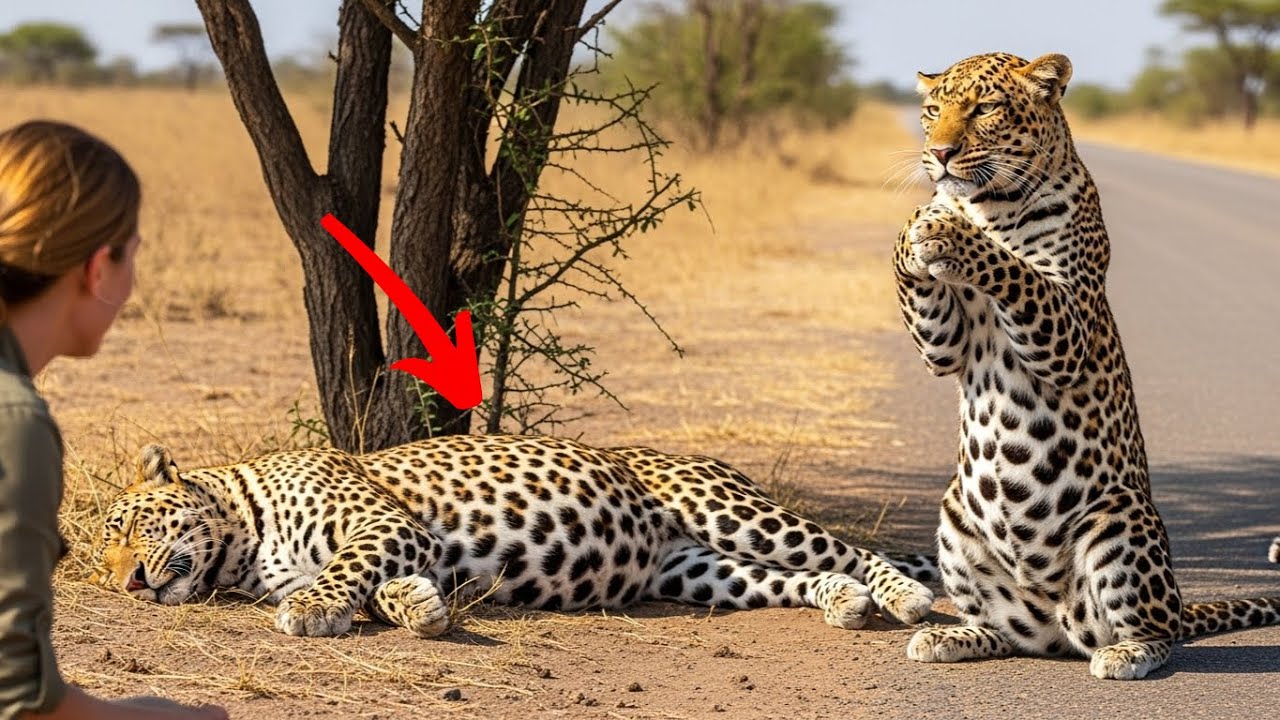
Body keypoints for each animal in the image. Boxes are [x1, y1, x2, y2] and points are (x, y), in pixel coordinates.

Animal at [893, 51, 1280, 680]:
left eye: (984, 108)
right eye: (932, 111)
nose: (941, 153)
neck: (989, 204)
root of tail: (1054, 617)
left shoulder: (1065, 327)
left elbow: (1013, 268)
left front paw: (949, 231)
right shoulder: (946, 344)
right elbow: (921, 284)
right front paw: (920, 227)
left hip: (1118, 520)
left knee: (1156, 629)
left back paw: (1127, 653)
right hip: (954, 519)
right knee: (1010, 632)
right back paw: (957, 635)